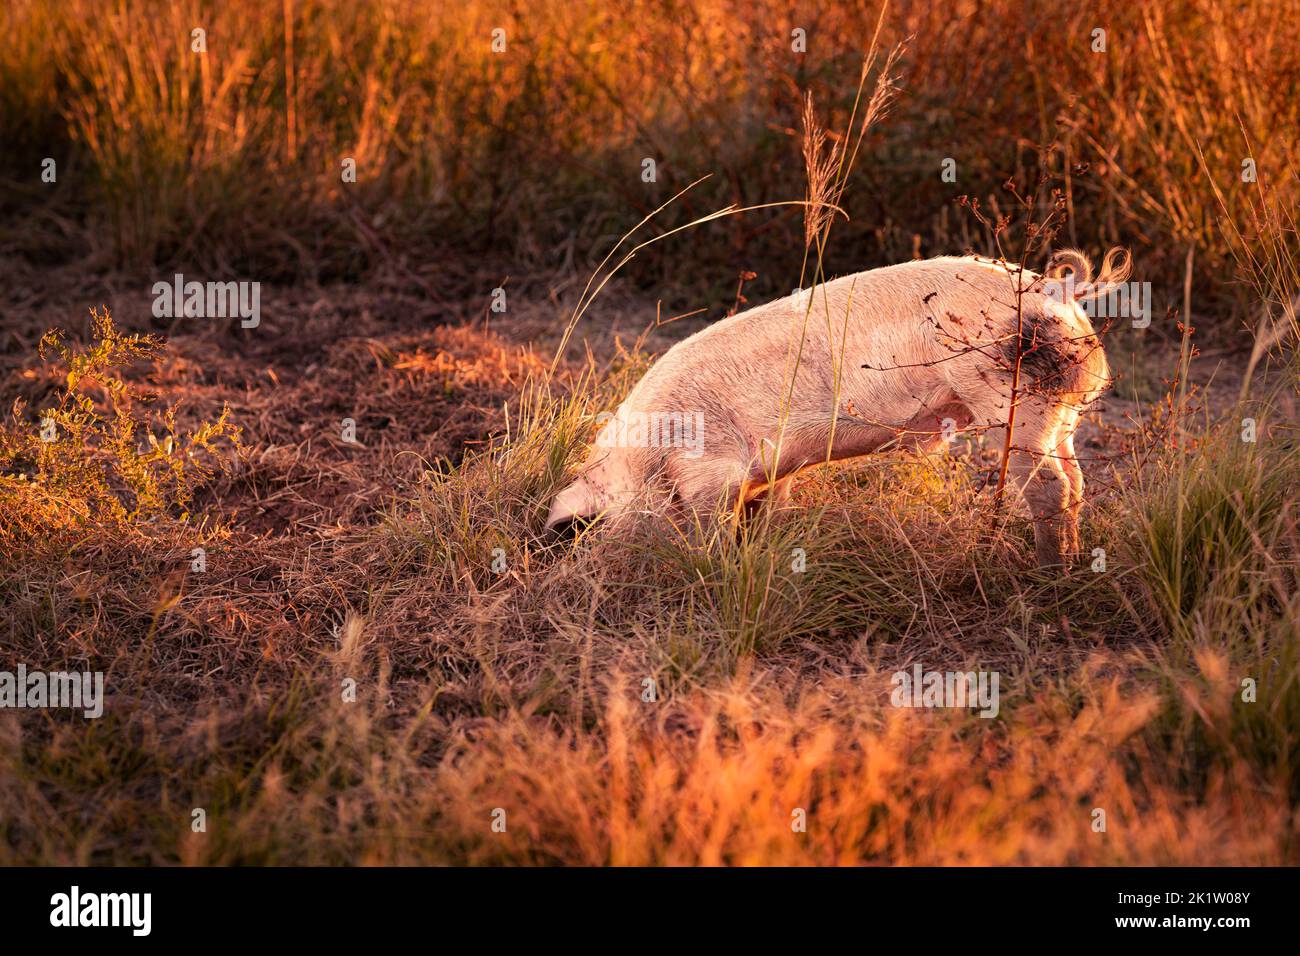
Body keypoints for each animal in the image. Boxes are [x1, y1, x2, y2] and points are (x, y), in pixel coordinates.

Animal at [546, 249, 1129, 567]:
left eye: (585, 528)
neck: (644, 461)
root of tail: (1059, 290)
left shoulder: (709, 467)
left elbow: (709, 521)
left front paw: (708, 564)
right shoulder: (769, 471)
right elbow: (764, 510)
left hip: (1008, 397)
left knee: (1050, 485)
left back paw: (1048, 571)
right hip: (1060, 411)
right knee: (1076, 479)